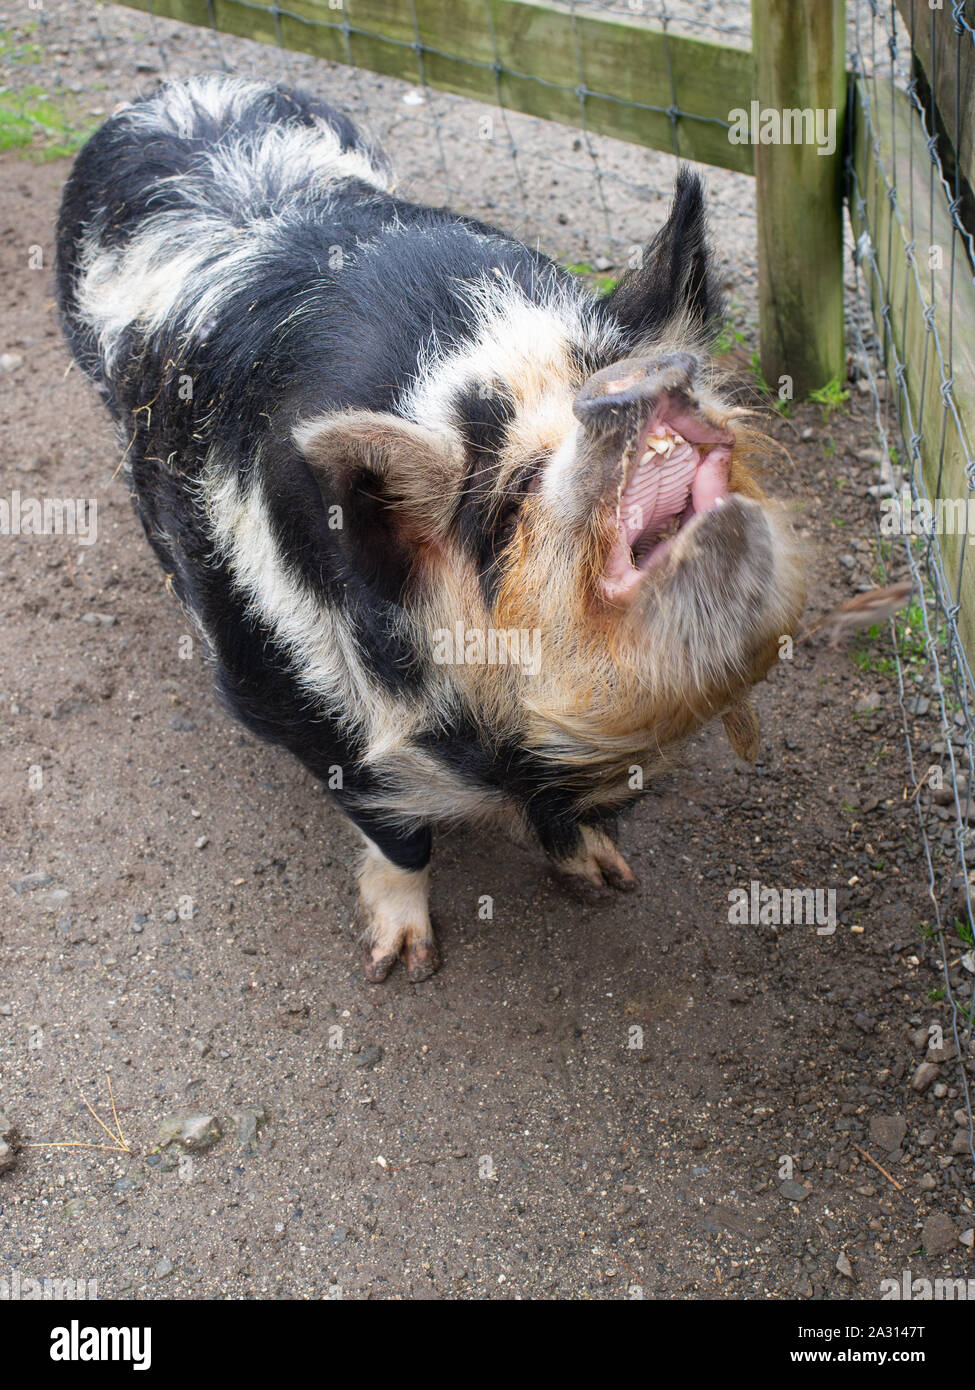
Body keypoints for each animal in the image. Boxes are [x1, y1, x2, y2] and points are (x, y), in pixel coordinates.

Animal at [55, 74, 804, 981]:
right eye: (511, 497)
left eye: (599, 370)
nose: (642, 378)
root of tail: (184, 87)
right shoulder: (305, 711)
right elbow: (396, 833)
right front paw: (402, 964)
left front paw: (604, 878)